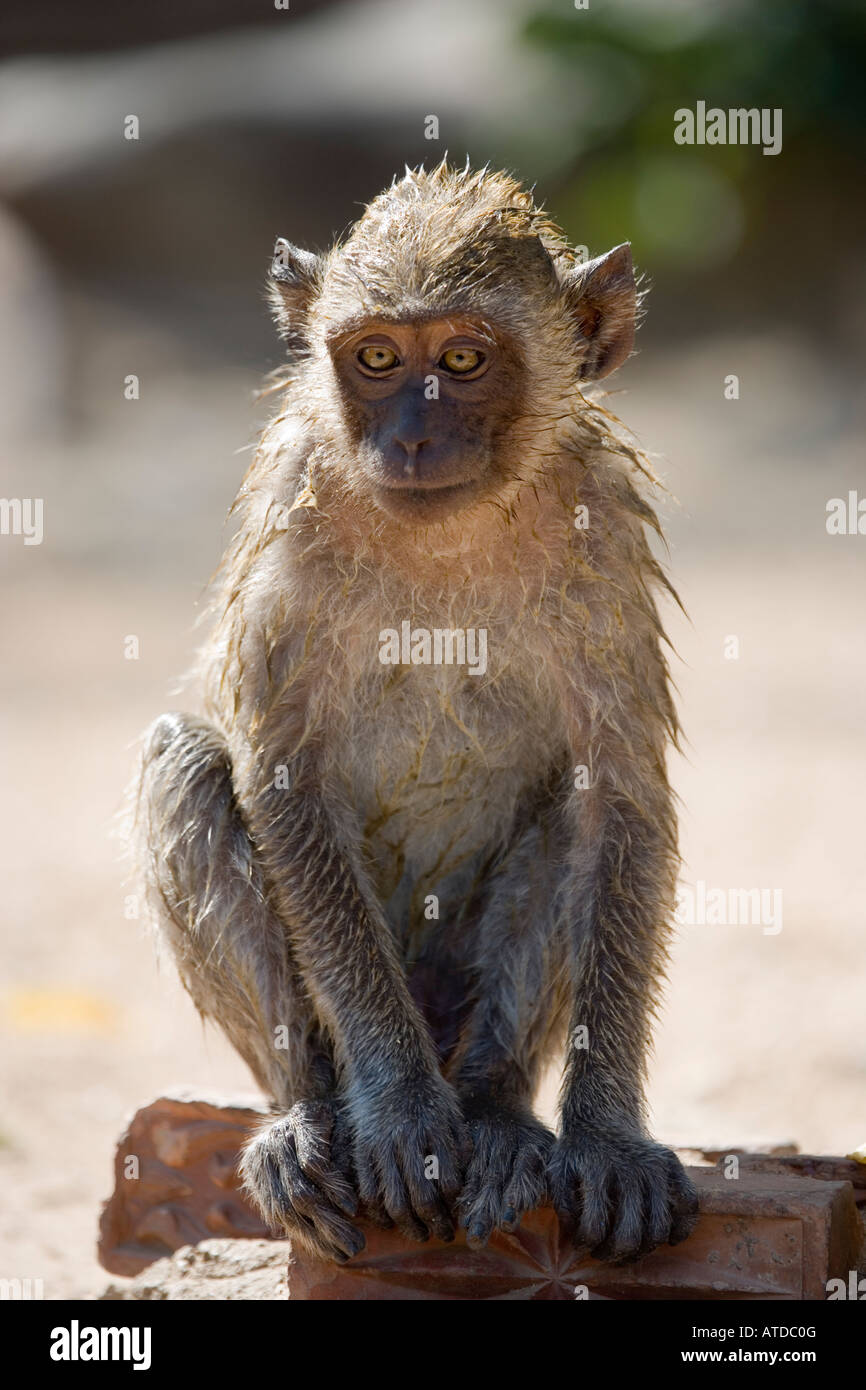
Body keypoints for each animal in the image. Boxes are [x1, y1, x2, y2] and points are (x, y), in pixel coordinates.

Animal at [131, 162, 699, 1267]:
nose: (414, 434)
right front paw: (398, 1111)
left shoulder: (604, 526)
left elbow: (618, 802)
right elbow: (282, 784)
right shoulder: (295, 503)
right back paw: (311, 1112)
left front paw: (607, 1137)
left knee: (569, 813)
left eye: (465, 359)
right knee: (187, 761)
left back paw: (495, 1114)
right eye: (379, 357)